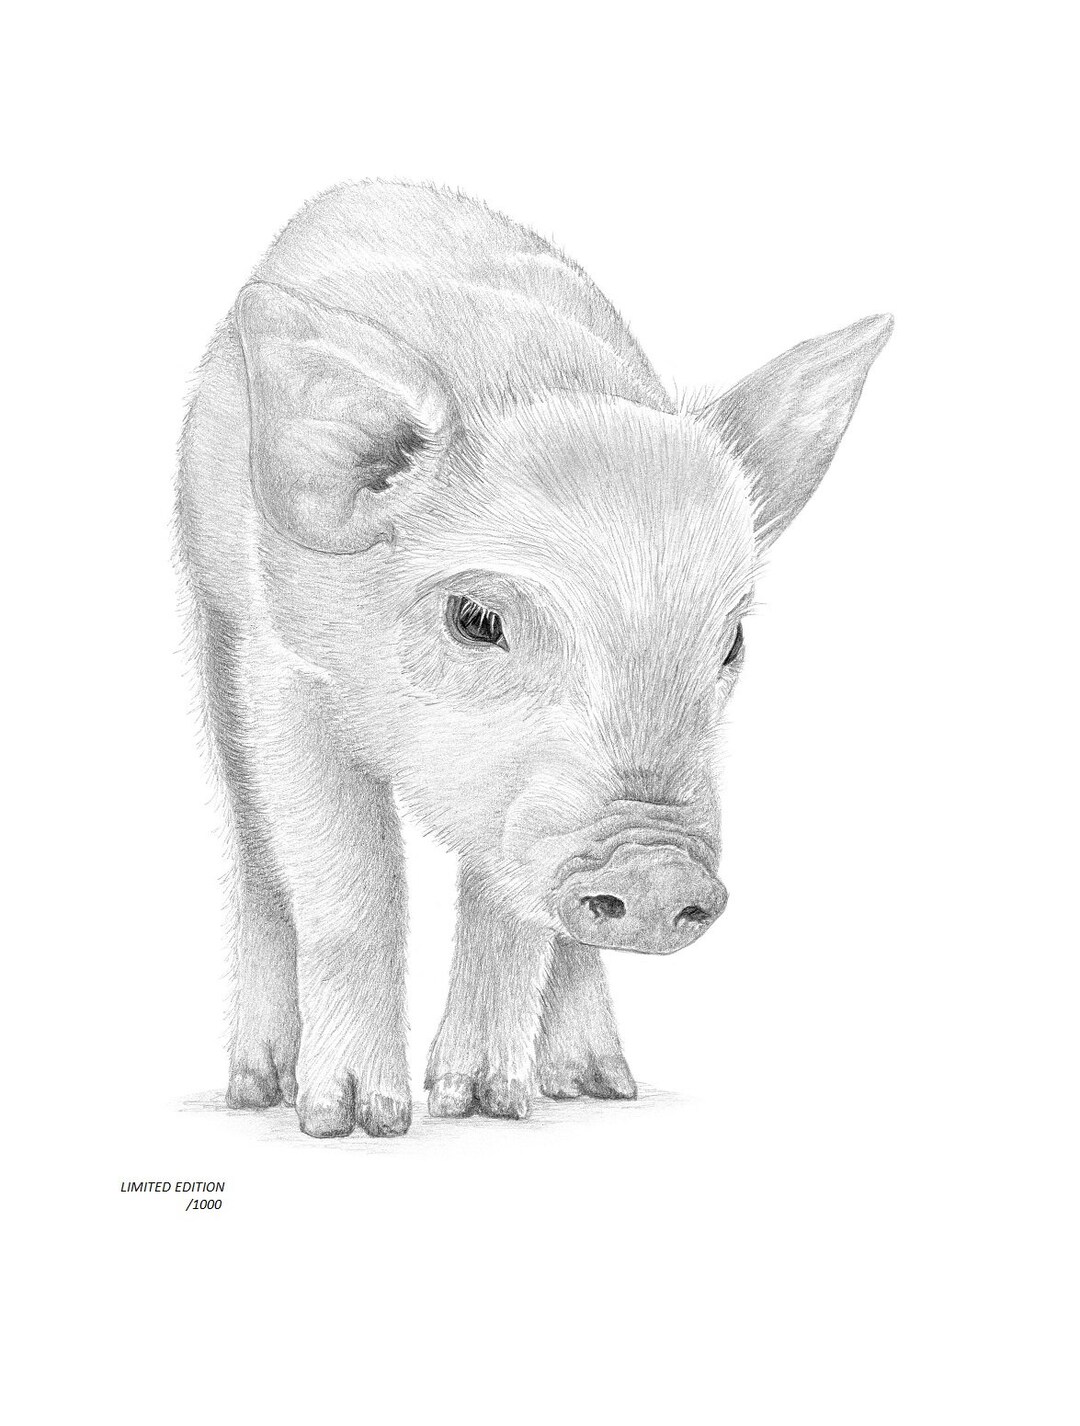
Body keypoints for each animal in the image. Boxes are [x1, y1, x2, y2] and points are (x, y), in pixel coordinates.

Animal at [175, 180, 891, 1138]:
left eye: (731, 640)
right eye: (476, 618)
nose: (660, 865)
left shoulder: (519, 800)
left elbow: (510, 903)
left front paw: (482, 1106)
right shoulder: (286, 669)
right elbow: (352, 884)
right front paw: (357, 1122)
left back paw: (595, 1085)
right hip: (213, 626)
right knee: (256, 850)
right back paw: (257, 1089)